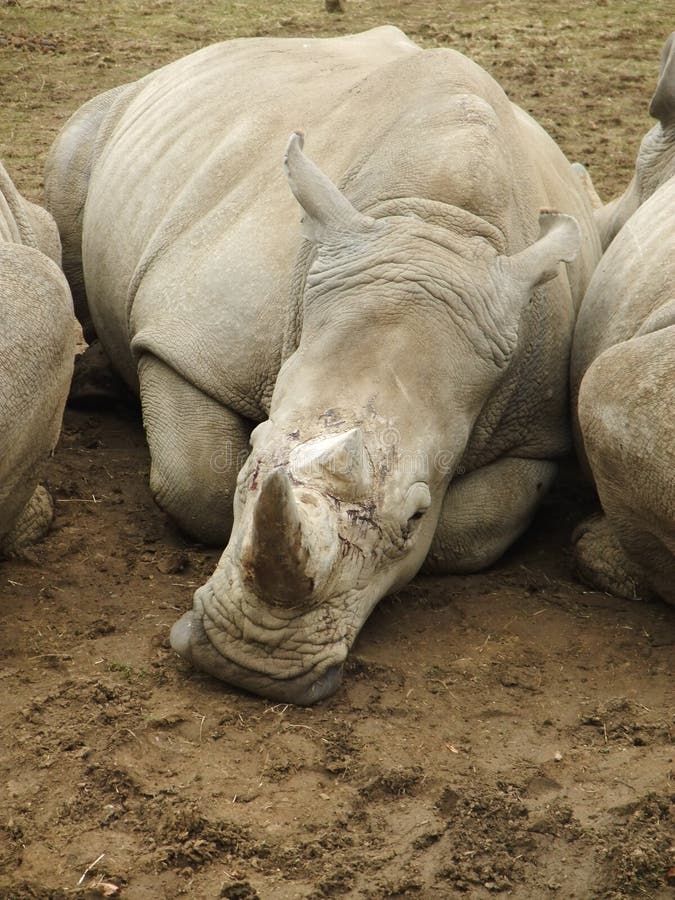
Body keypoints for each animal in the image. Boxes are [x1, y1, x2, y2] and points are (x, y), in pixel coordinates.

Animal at [45, 27, 601, 703]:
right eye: (254, 453)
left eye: (416, 514)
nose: (250, 664)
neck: (431, 224)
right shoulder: (190, 341)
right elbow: (195, 478)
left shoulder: (534, 430)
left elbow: (469, 532)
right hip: (119, 117)